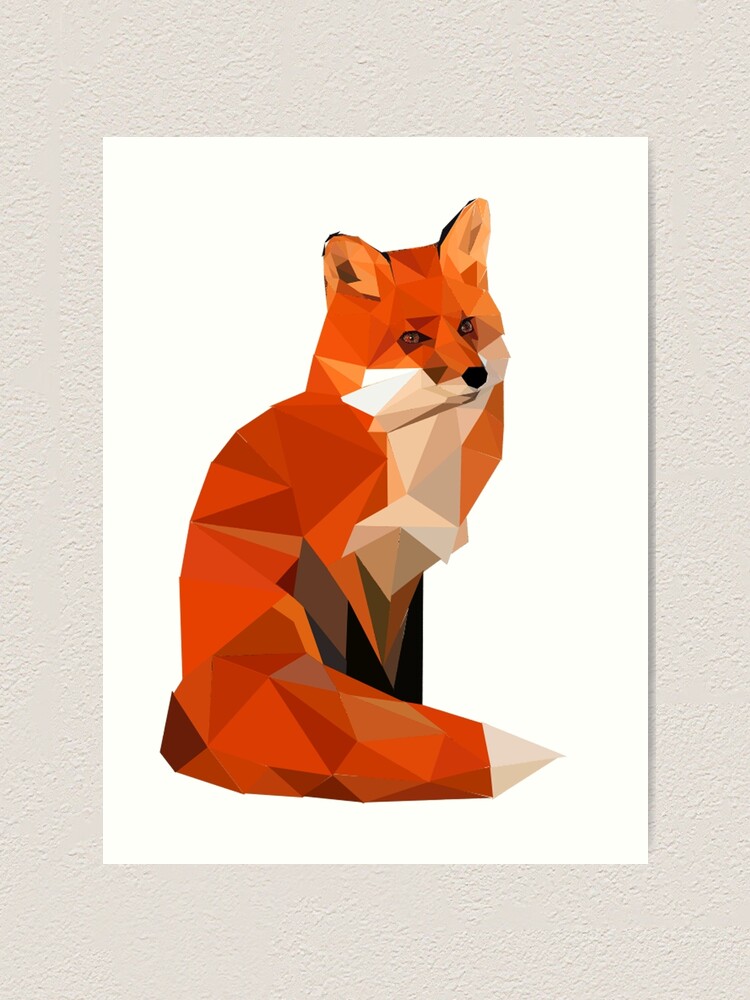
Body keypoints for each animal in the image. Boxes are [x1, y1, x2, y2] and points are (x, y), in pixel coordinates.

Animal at [160, 198, 559, 802]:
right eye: (412, 340)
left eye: (467, 326)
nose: (476, 374)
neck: (410, 456)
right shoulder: (342, 564)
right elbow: (368, 669)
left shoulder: (407, 567)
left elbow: (404, 668)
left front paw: (409, 715)